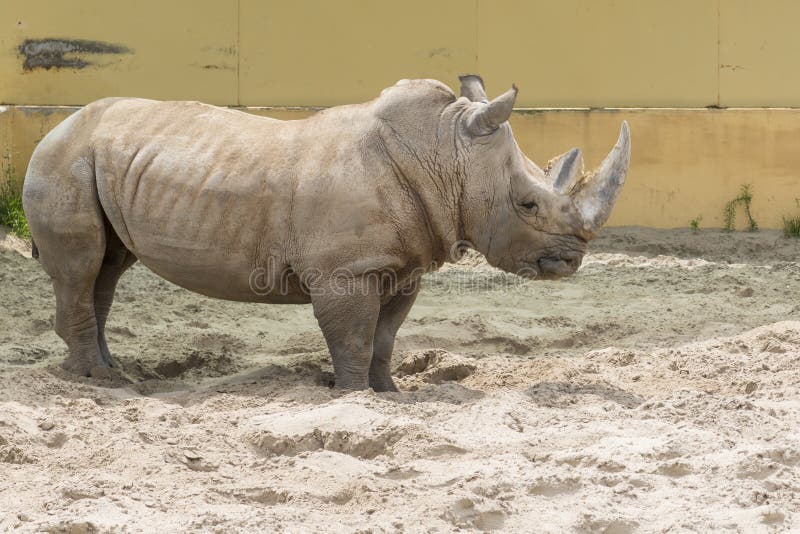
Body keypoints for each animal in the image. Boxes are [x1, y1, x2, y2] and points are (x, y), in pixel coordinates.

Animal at [22, 75, 630, 391]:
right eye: (527, 204)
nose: (572, 261)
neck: (446, 153)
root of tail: (56, 124)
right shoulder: (347, 269)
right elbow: (355, 337)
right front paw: (352, 396)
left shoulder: (402, 266)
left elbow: (385, 336)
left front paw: (389, 393)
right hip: (64, 159)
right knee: (83, 268)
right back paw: (95, 383)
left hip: (96, 159)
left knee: (107, 268)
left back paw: (113, 373)